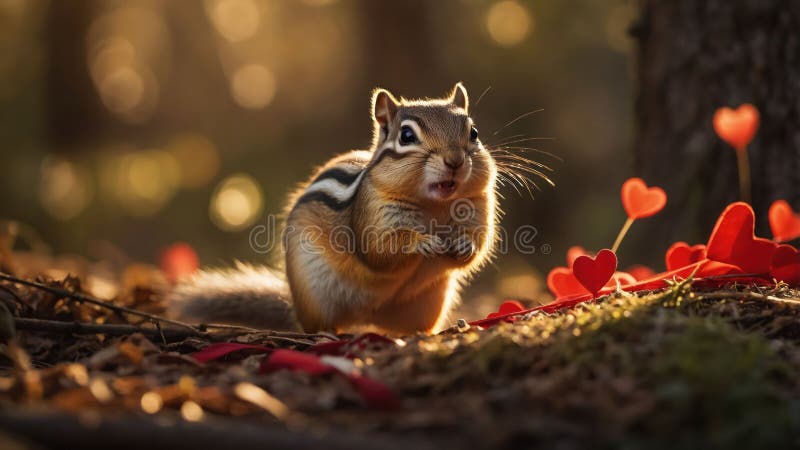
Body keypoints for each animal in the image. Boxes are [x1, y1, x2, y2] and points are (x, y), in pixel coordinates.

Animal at [168, 83, 499, 334]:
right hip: (316, 298)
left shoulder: (478, 209)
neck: (433, 207)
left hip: (426, 304)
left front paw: (464, 245)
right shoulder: (372, 216)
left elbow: (478, 246)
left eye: (474, 133)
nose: (455, 161)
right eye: (407, 136)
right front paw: (423, 241)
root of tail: (367, 316)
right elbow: (380, 251)